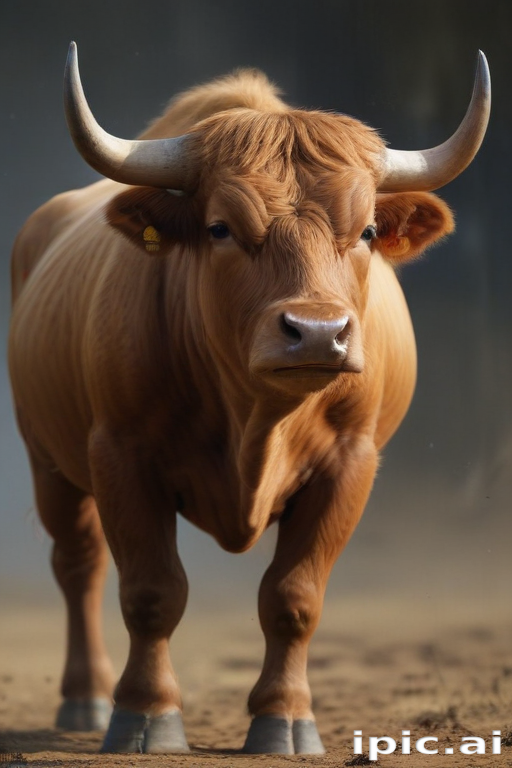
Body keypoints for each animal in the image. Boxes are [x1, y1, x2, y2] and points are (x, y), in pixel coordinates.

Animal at [8, 43, 490, 754]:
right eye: (220, 229)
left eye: (368, 230)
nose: (317, 331)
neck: (255, 419)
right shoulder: (120, 455)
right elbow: (151, 591)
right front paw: (146, 716)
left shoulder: (350, 464)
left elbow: (293, 598)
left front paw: (284, 719)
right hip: (48, 459)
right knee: (80, 566)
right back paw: (86, 701)